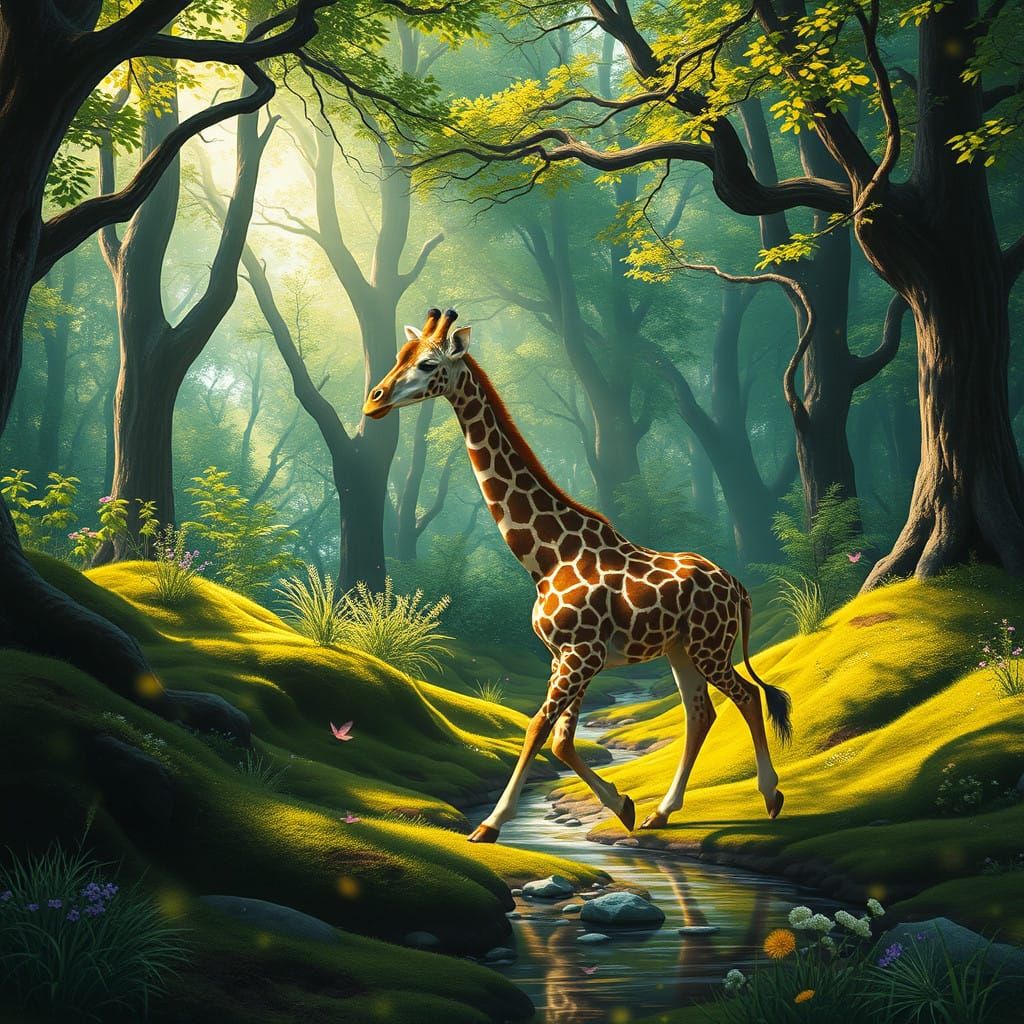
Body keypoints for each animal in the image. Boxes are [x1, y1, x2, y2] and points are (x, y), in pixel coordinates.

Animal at [364, 308, 792, 843]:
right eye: (399, 356)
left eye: (426, 363)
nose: (374, 400)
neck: (545, 557)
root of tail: (738, 588)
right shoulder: (565, 657)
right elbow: (561, 742)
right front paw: (624, 805)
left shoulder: (580, 655)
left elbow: (537, 730)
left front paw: (488, 825)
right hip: (680, 649)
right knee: (701, 713)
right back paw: (660, 812)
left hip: (709, 645)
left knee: (748, 696)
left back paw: (772, 797)